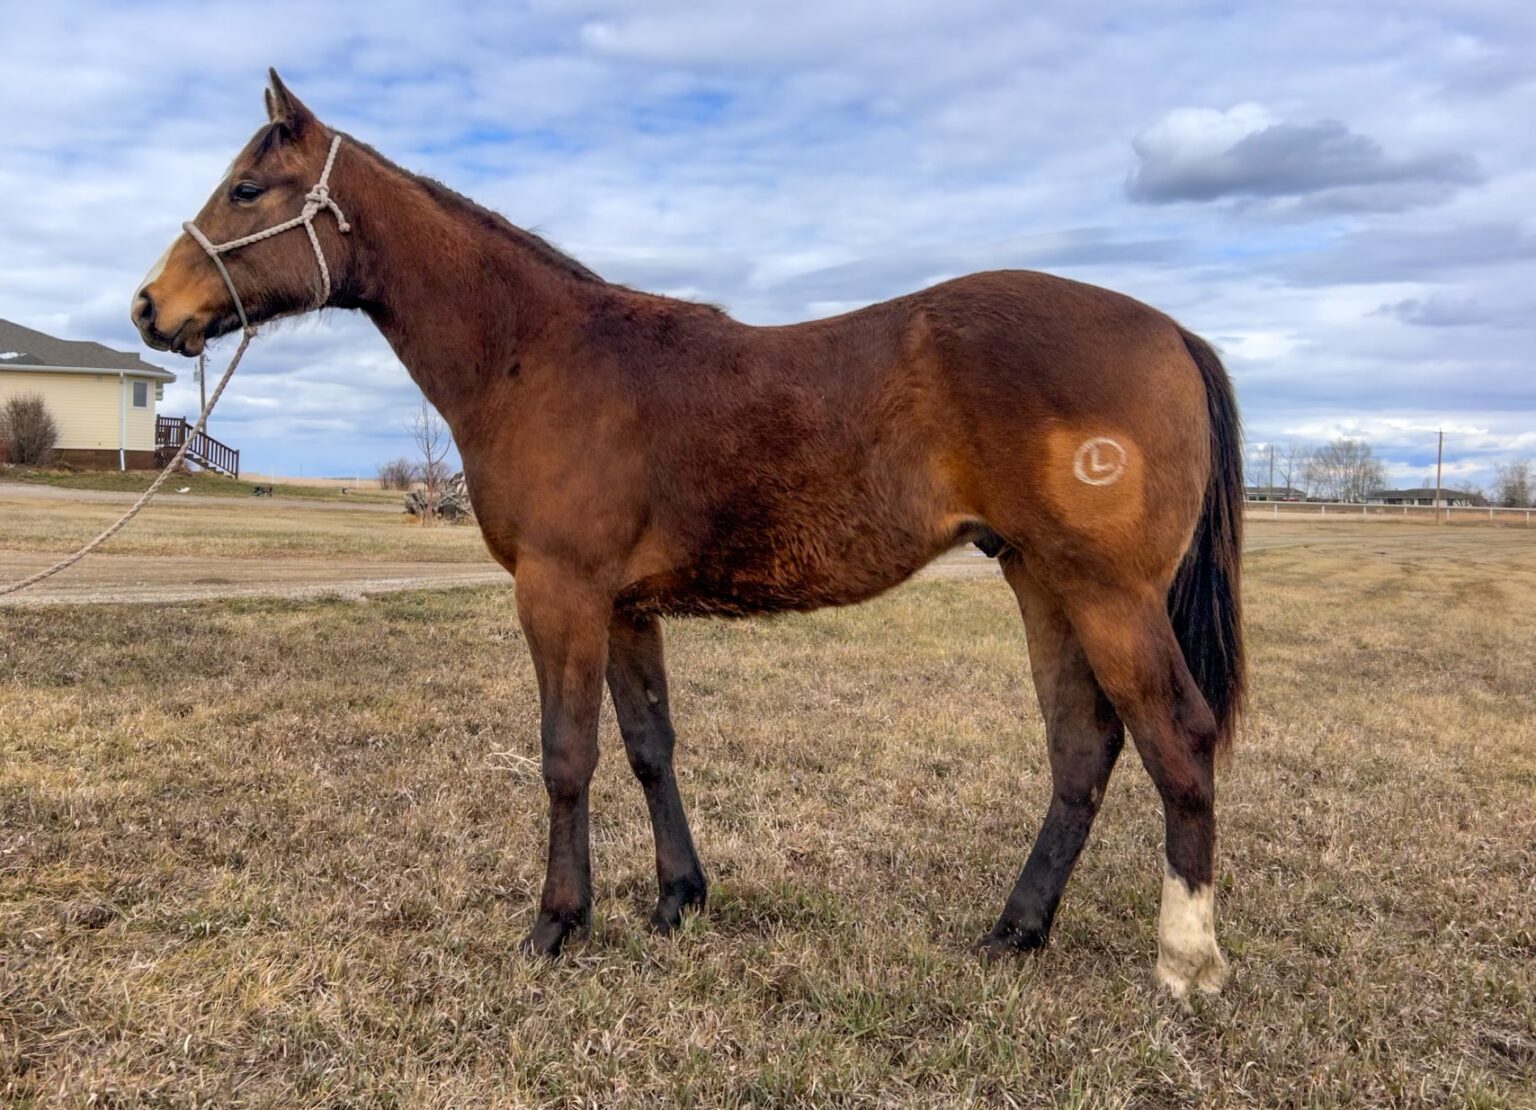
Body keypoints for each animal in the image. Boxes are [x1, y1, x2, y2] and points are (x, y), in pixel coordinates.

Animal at [132, 71, 1244, 999]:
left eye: (244, 189)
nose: (150, 307)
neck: (539, 356)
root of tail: (1170, 330)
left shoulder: (561, 594)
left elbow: (566, 756)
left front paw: (556, 923)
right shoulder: (625, 608)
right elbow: (649, 747)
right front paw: (677, 899)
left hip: (1107, 593)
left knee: (1178, 740)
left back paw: (1186, 961)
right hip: (1041, 582)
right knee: (1083, 746)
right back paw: (1015, 931)